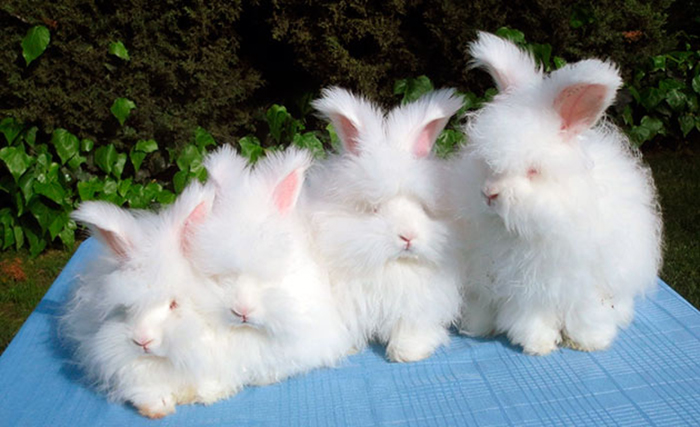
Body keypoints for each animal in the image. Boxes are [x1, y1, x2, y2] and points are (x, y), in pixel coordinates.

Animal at [307, 87, 464, 363]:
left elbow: (411, 329)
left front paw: (408, 353)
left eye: (423, 208)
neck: (392, 268)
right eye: (374, 208)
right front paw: (349, 348)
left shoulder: (418, 307)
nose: (408, 237)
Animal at [449, 32, 663, 355]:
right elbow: (531, 317)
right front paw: (538, 344)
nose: (489, 194)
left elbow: (587, 314)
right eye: (486, 162)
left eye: (533, 171)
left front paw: (589, 342)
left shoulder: (579, 284)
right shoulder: (527, 289)